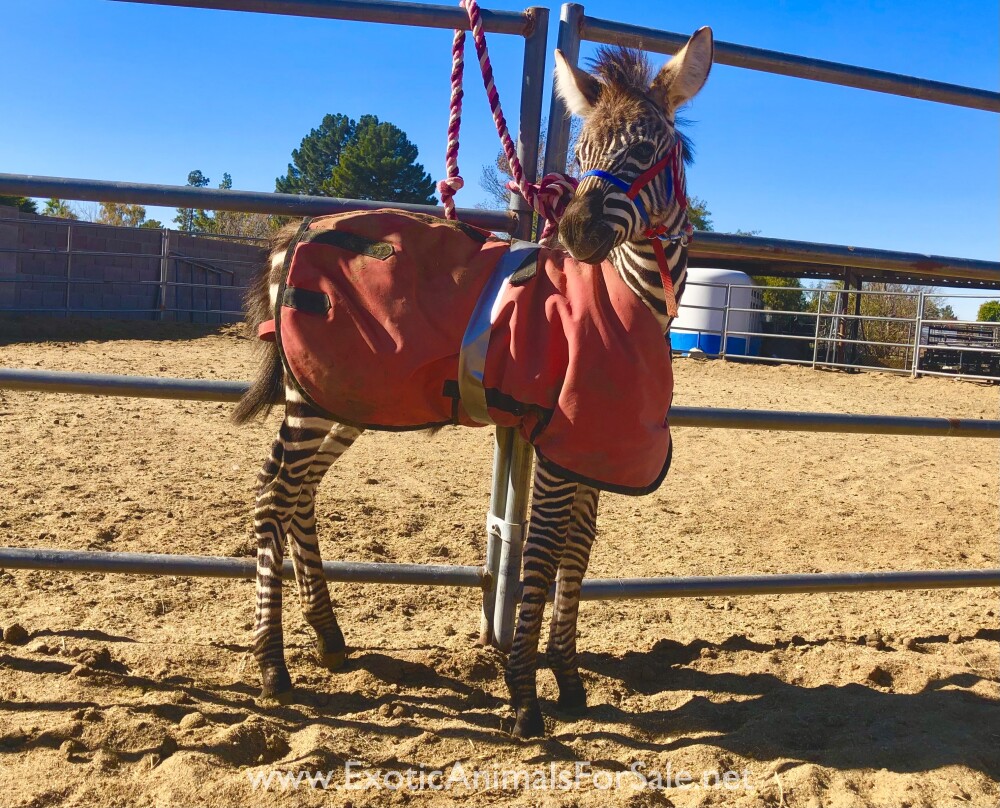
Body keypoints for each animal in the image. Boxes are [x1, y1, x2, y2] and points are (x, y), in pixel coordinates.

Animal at [232, 28, 713, 740]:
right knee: (272, 496)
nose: (576, 232)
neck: (629, 297)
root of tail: (299, 230)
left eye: (649, 151)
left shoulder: (592, 442)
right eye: (581, 156)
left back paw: (329, 639)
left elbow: (578, 552)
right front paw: (524, 699)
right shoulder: (560, 438)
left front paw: (569, 680)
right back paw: (272, 665)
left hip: (340, 396)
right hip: (313, 398)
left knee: (297, 493)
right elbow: (541, 552)